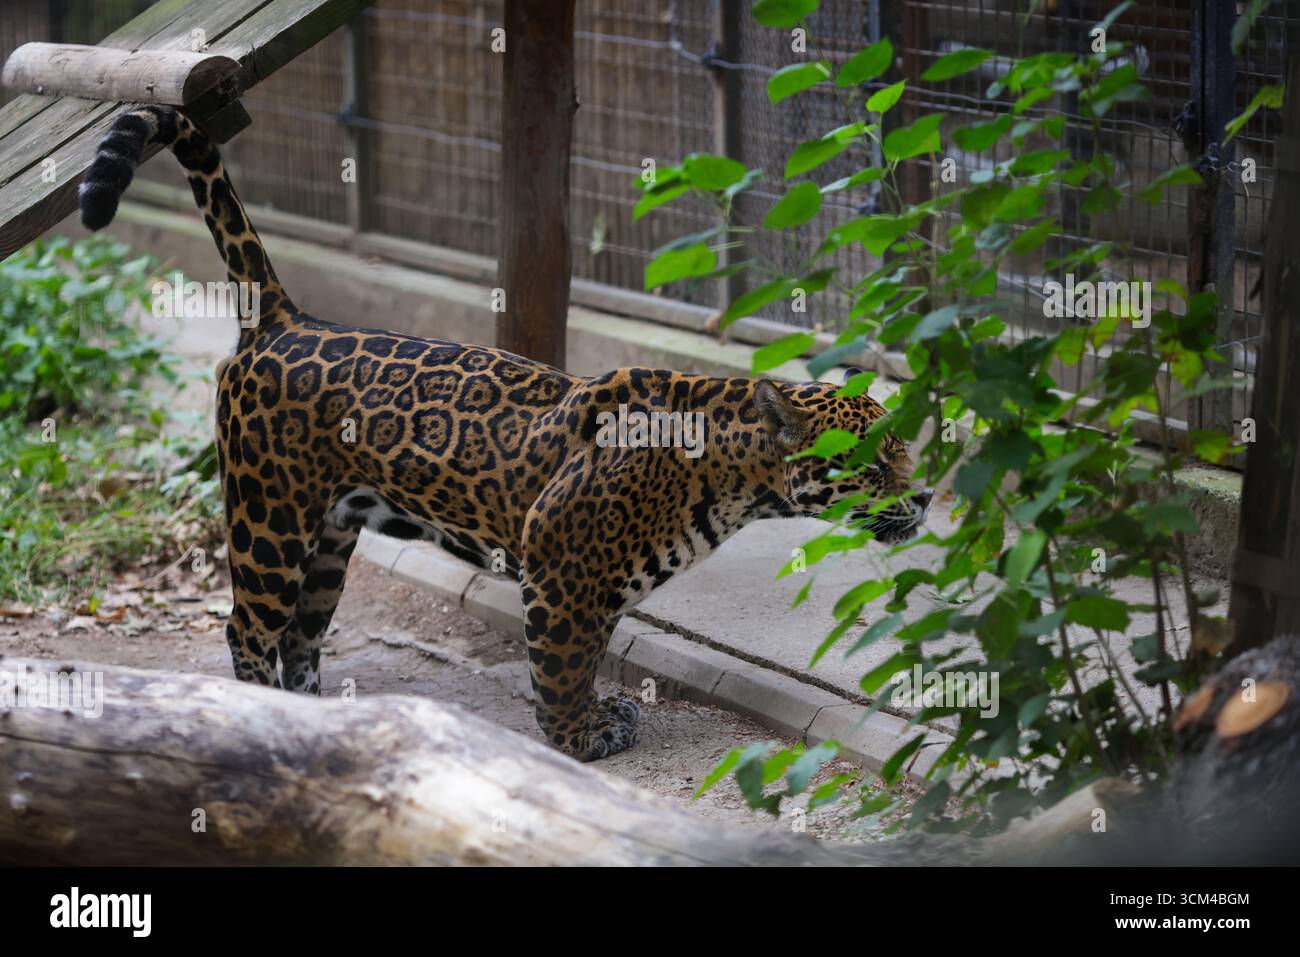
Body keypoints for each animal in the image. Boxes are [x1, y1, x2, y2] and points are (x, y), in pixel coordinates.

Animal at [79, 105, 932, 761]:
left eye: (906, 449)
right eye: (871, 464)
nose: (924, 498)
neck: (727, 477)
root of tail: (288, 320)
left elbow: (589, 658)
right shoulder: (559, 569)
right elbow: (562, 669)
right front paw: (578, 737)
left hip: (328, 537)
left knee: (301, 634)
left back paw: (320, 719)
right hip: (267, 523)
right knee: (247, 628)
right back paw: (269, 716)